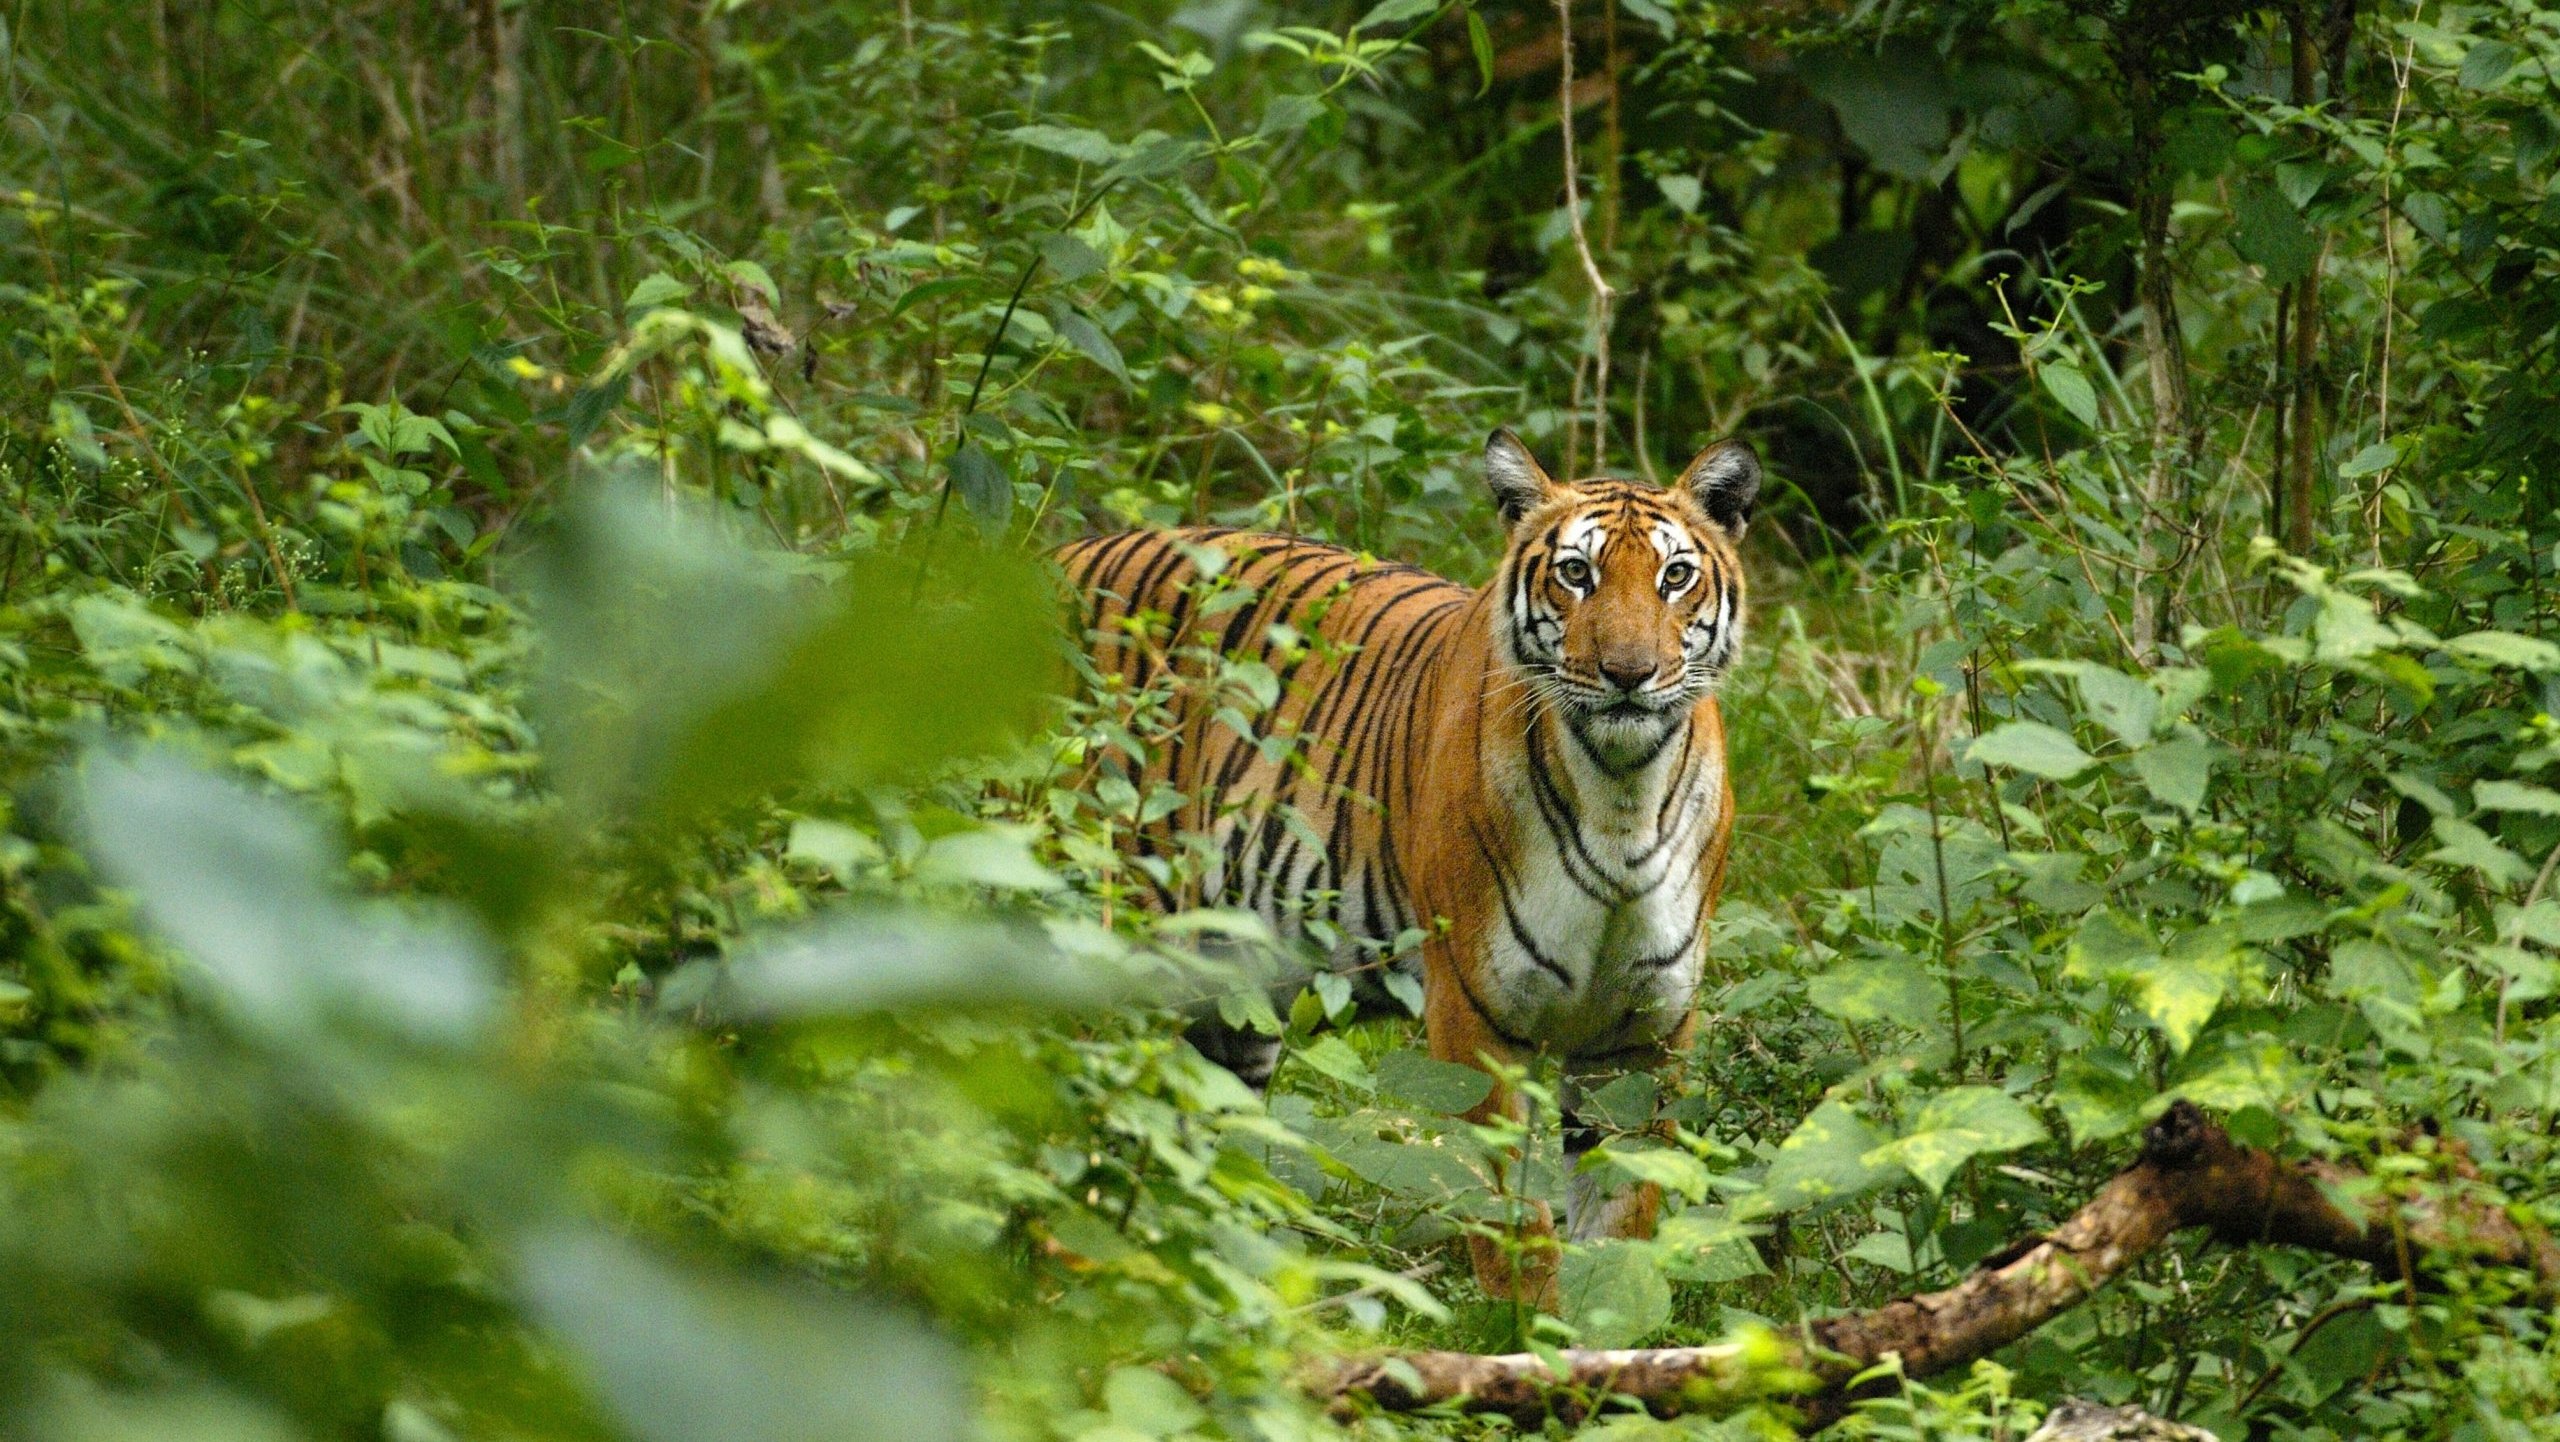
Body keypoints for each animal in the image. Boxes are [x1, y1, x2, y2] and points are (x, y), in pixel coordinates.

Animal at [1056, 429, 1759, 1301]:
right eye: (1576, 573)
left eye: (1675, 577)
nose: (1629, 674)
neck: (1620, 792)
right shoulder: (1475, 1014)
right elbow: (1514, 1224)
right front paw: (1524, 1330)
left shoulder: (1645, 1034)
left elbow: (1622, 1219)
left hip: (1226, 1003)